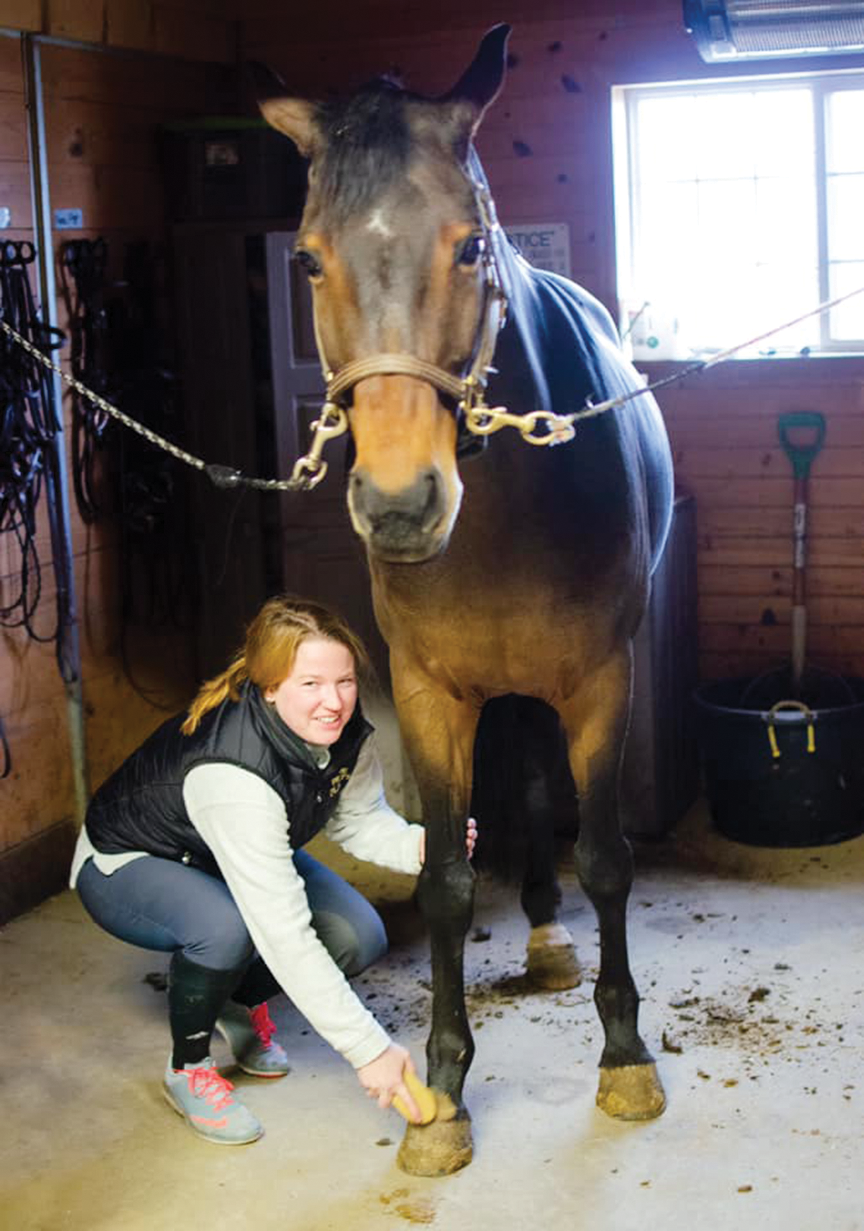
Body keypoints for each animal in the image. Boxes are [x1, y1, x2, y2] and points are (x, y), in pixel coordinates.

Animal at [256, 23, 674, 1176]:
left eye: (471, 249)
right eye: (308, 258)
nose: (402, 505)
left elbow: (609, 859)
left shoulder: (600, 682)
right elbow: (444, 876)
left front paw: (626, 1057)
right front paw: (441, 1091)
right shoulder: (434, 695)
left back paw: (551, 935)